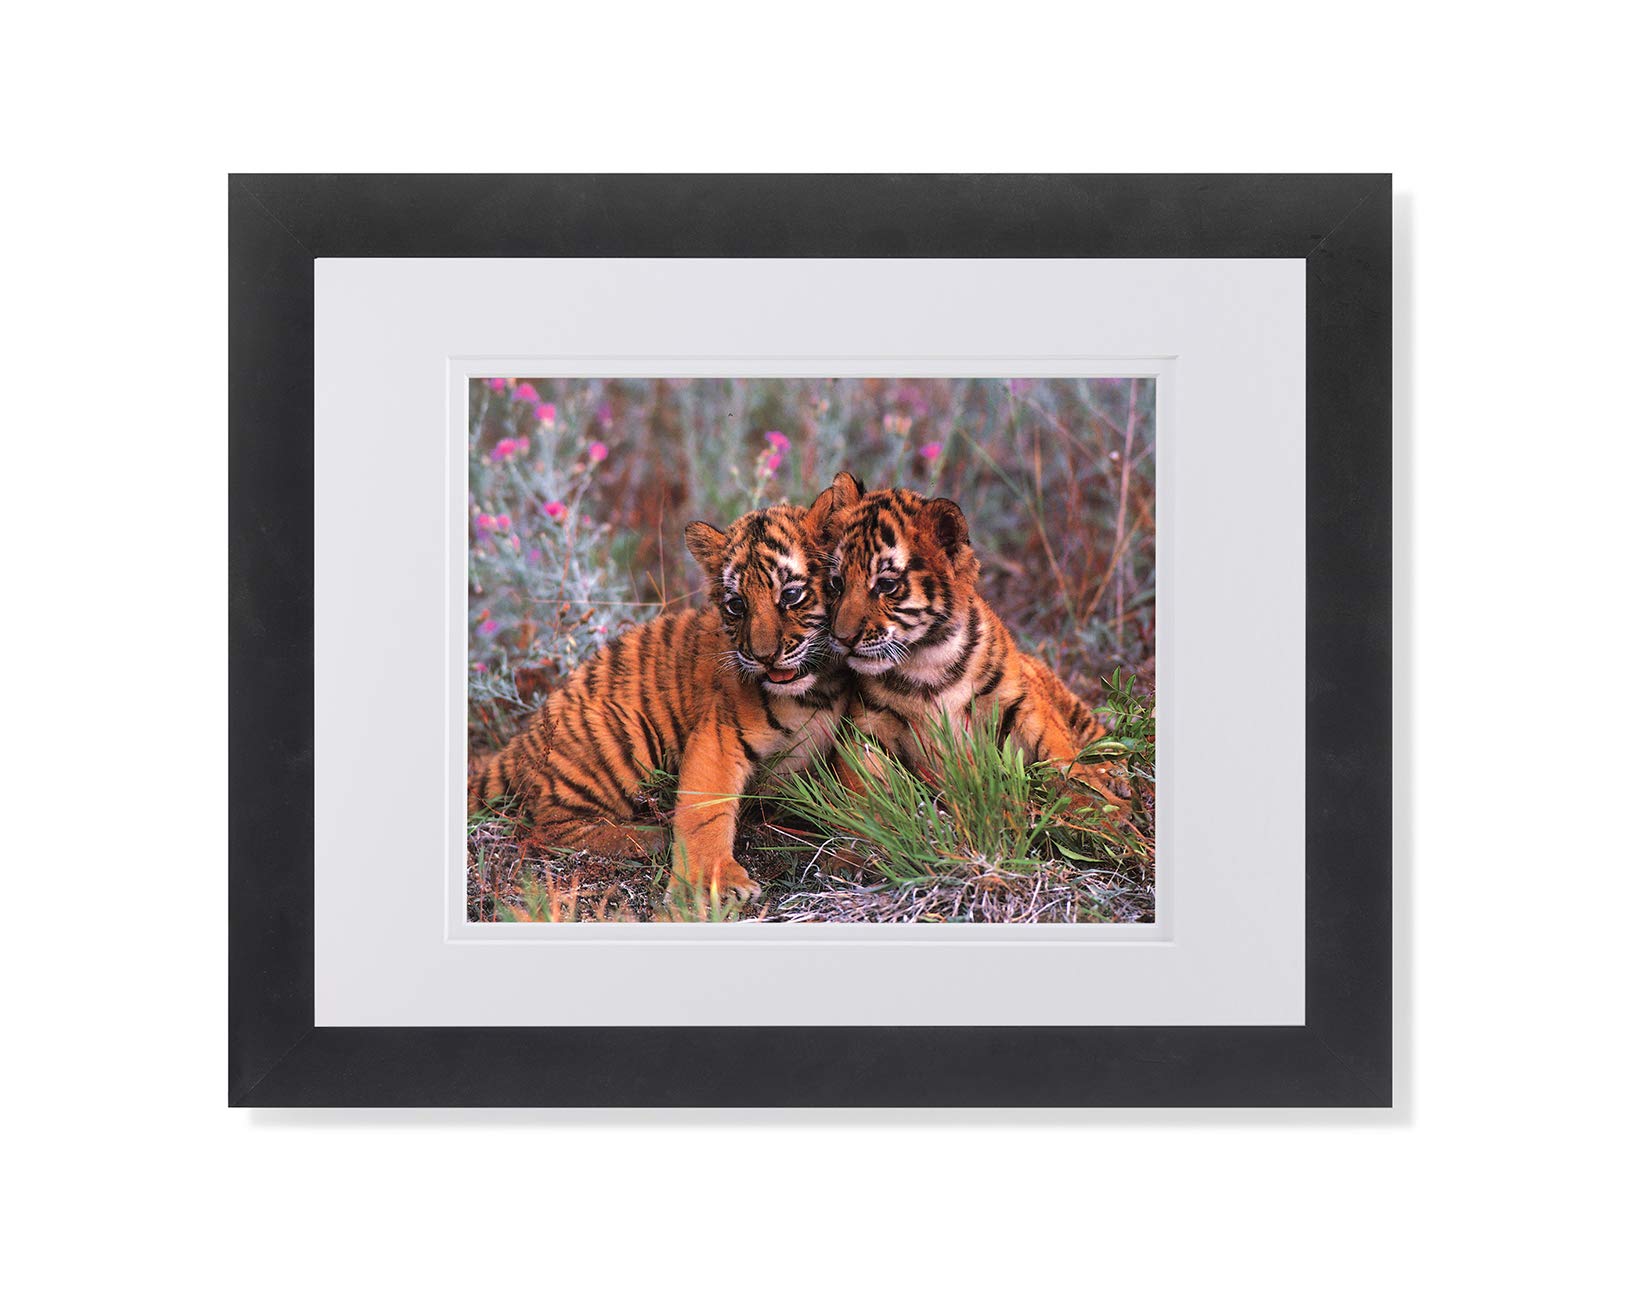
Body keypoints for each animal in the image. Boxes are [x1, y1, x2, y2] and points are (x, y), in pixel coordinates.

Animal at [469, 475, 862, 904]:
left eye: (790, 595)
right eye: (736, 605)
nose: (763, 656)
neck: (816, 686)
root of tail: (520, 740)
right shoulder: (720, 736)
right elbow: (705, 810)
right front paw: (713, 884)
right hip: (625, 732)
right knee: (549, 827)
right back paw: (650, 838)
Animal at [817, 474, 1132, 813]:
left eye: (886, 585)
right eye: (837, 582)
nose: (842, 638)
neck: (925, 660)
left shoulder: (1021, 703)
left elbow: (1063, 758)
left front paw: (1109, 809)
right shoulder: (866, 730)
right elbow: (862, 790)